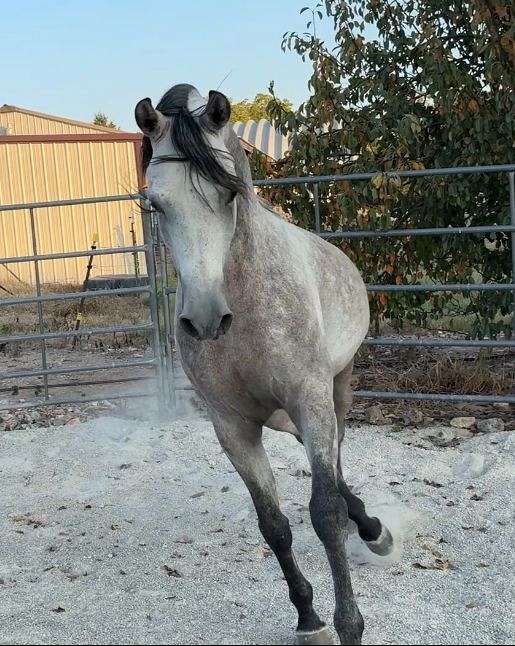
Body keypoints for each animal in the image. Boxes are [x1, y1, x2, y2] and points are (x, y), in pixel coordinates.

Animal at [135, 83, 393, 646]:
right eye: (155, 203)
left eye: (229, 194)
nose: (206, 318)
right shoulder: (233, 427)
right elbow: (273, 524)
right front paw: (309, 618)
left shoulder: (310, 398)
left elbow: (324, 512)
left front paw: (349, 624)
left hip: (336, 389)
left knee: (337, 456)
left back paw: (372, 529)